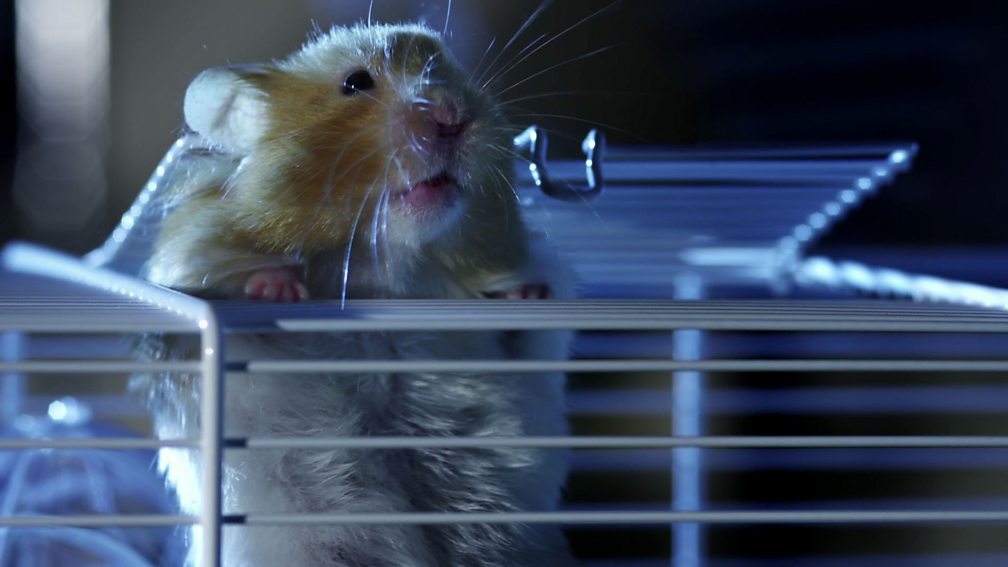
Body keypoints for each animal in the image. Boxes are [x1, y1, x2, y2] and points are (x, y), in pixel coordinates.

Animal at [131, 23, 576, 567]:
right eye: (356, 82)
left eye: (454, 75)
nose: (451, 114)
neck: (387, 272)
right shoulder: (185, 265)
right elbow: (220, 288)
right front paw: (279, 289)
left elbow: (528, 329)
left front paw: (525, 292)